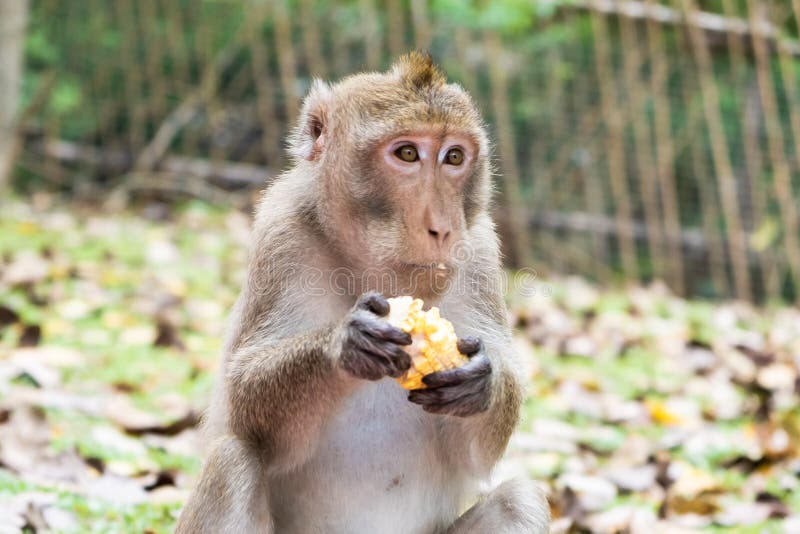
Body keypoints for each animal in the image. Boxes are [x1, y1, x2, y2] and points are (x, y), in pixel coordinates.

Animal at [175, 52, 550, 534]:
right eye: (407, 153)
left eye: (454, 157)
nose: (443, 227)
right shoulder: (280, 232)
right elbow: (245, 405)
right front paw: (345, 343)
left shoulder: (481, 248)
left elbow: (480, 453)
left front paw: (478, 379)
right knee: (233, 462)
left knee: (519, 501)